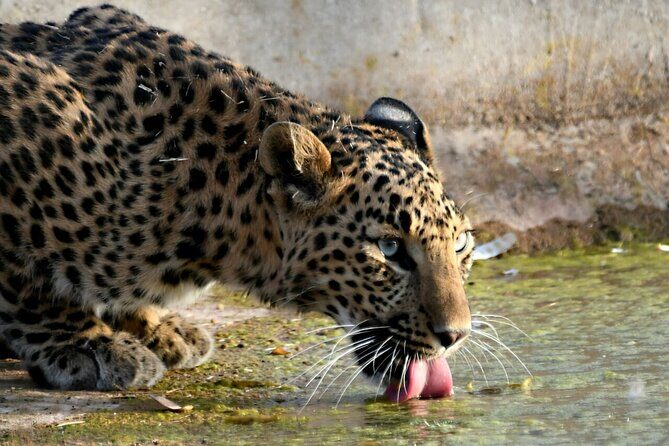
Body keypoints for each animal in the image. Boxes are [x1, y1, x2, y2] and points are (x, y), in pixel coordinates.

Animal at [0, 5, 475, 396]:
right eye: (389, 249)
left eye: (461, 244)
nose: (456, 335)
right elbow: (27, 282)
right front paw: (85, 342)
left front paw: (154, 326)